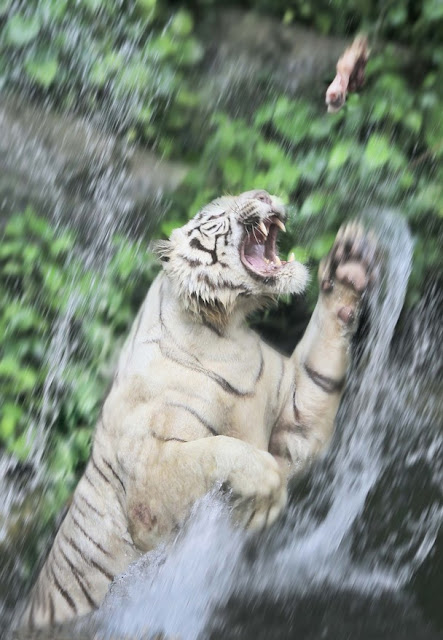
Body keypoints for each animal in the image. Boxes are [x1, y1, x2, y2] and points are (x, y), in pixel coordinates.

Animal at [20, 189, 376, 630]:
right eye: (215, 210)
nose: (263, 194)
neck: (228, 332)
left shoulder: (293, 413)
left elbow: (318, 373)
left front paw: (350, 266)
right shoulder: (148, 479)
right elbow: (216, 452)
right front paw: (268, 494)